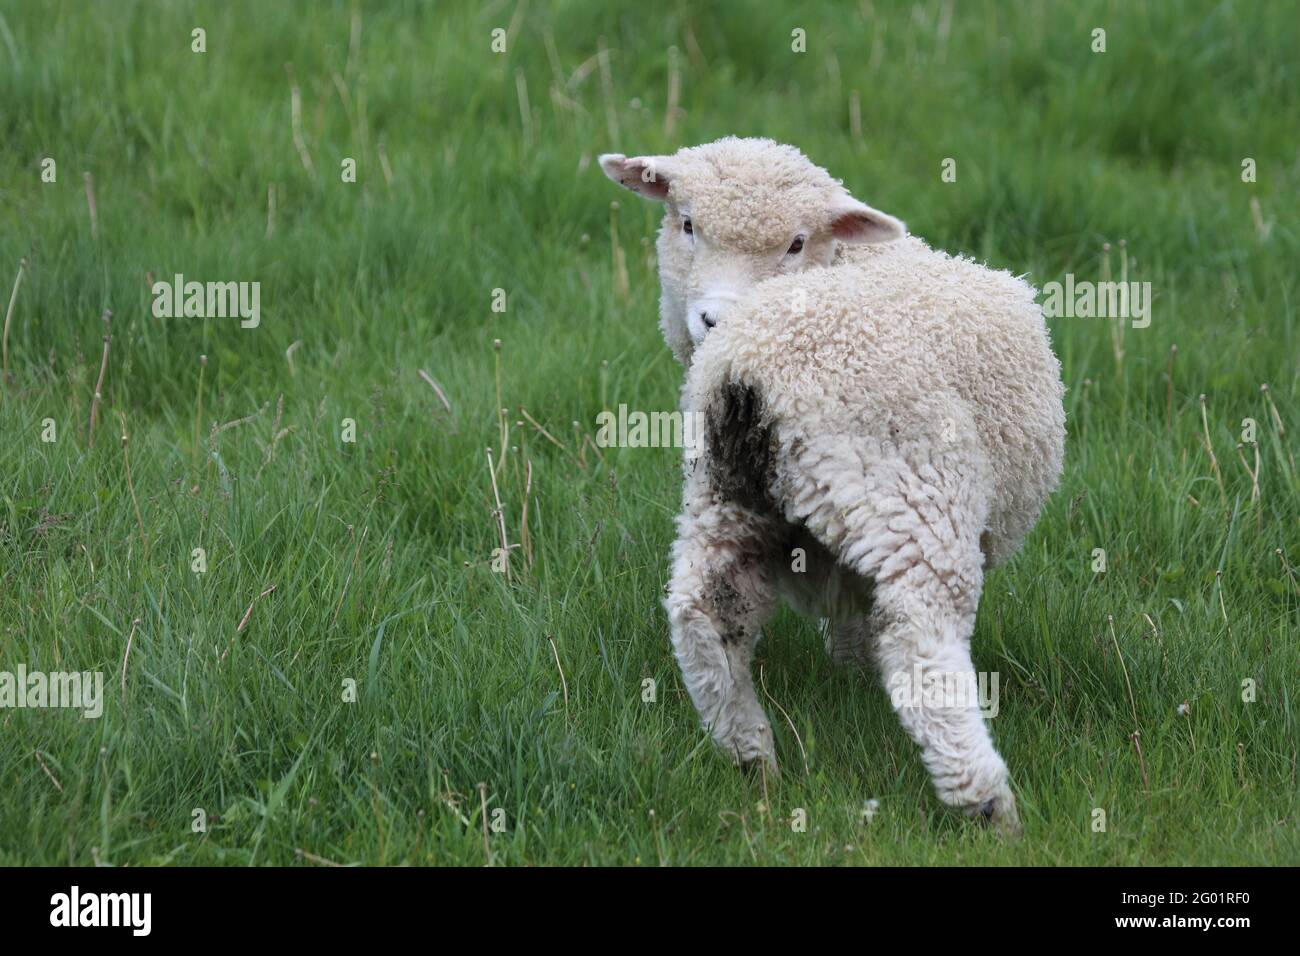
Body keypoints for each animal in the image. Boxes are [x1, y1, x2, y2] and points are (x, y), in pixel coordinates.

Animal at [599, 137, 1065, 835]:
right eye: (687, 224)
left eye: (796, 242)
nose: (713, 319)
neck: (852, 255)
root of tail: (752, 366)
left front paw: (845, 675)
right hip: (908, 496)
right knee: (920, 647)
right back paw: (986, 804)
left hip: (726, 494)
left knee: (705, 612)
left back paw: (750, 757)